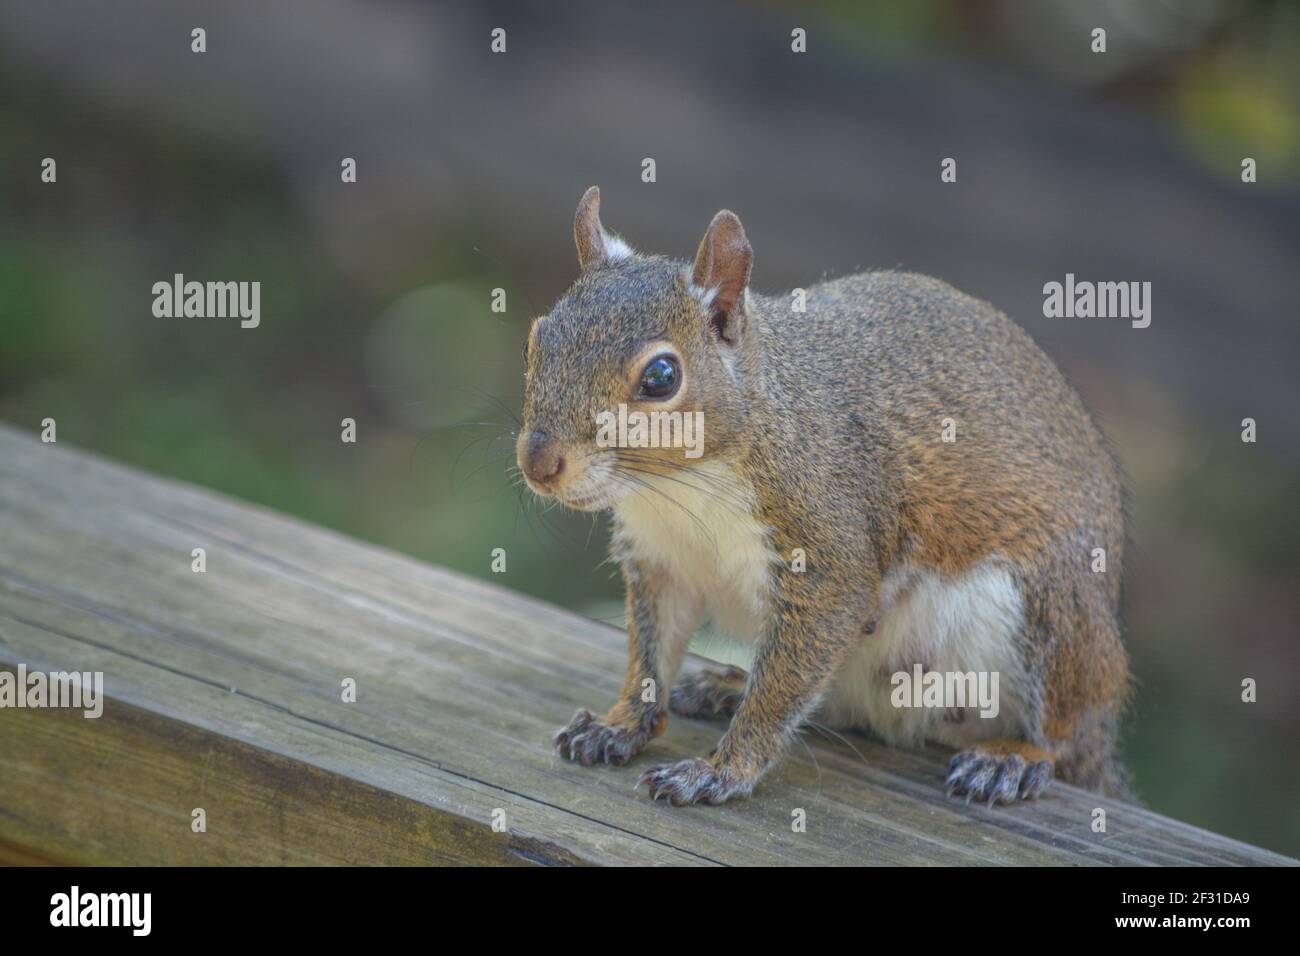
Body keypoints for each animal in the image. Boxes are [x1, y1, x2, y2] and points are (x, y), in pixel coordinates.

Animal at [518, 186, 1131, 807]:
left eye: (662, 376)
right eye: (537, 339)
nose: (538, 463)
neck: (678, 489)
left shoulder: (826, 548)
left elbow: (785, 682)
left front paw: (721, 770)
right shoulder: (660, 560)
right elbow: (649, 656)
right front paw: (619, 724)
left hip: (1050, 615)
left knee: (1060, 731)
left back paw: (1013, 758)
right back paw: (726, 684)